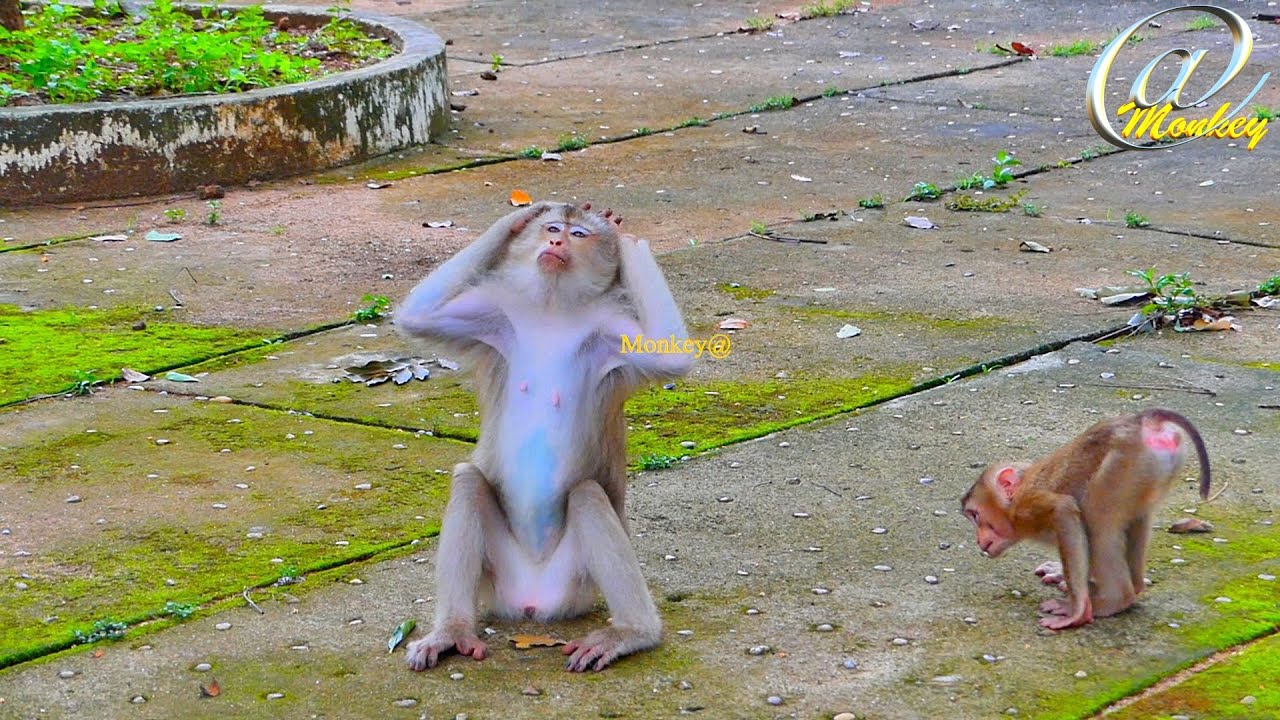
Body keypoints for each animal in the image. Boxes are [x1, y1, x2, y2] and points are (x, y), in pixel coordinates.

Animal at [395, 201, 692, 671]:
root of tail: (531, 605)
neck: (554, 308)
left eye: (578, 234)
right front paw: (517, 218)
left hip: (574, 584)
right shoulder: (498, 315)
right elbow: (418, 317)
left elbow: (671, 356)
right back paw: (452, 630)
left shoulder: (609, 331)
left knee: (587, 494)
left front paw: (625, 238)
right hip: (497, 579)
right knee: (468, 481)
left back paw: (634, 632)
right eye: (553, 227)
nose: (555, 239)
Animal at [960, 408, 1210, 630]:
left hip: (1122, 463)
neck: (1016, 498)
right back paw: (1134, 585)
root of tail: (1140, 422)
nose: (978, 539)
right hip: (1148, 471)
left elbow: (1064, 510)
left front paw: (1077, 610)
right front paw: (1059, 572)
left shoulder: (1028, 507)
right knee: (1139, 516)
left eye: (975, 515)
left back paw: (1111, 601)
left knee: (1097, 521)